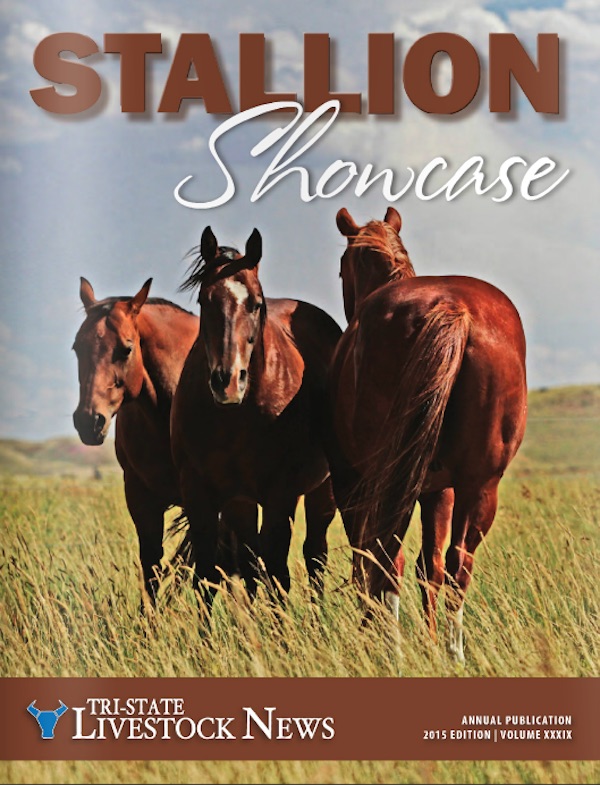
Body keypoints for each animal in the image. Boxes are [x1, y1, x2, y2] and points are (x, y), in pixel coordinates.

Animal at [170, 226, 341, 611]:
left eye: (257, 303)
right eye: (204, 301)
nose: (228, 380)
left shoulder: (281, 495)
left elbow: (279, 574)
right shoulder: (201, 493)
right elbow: (207, 576)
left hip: (321, 491)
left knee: (315, 555)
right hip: (242, 502)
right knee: (250, 561)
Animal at [328, 206, 527, 662]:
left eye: (342, 266)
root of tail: (453, 309)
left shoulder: (352, 482)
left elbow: (370, 558)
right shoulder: (440, 489)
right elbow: (431, 566)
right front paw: (431, 639)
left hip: (386, 480)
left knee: (388, 559)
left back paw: (393, 651)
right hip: (478, 485)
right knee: (455, 566)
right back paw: (452, 653)